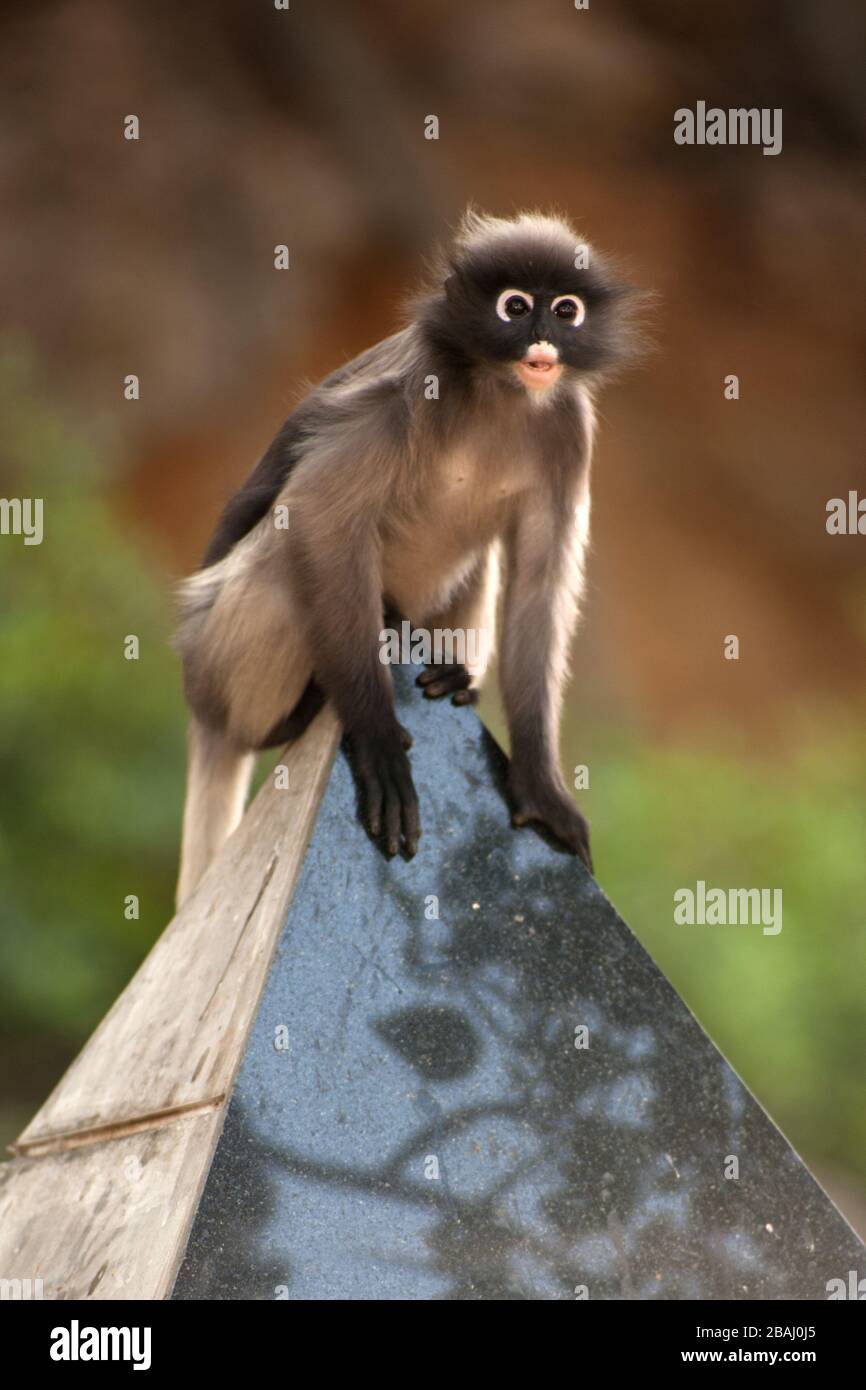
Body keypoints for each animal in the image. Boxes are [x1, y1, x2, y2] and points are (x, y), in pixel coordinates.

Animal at [175, 209, 639, 907]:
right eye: (515, 306)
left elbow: (539, 583)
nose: (542, 340)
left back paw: (451, 674)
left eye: (566, 310)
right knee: (283, 553)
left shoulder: (569, 427)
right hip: (216, 660)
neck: (499, 393)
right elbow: (319, 518)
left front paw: (541, 787)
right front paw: (376, 741)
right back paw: (302, 708)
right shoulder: (407, 391)